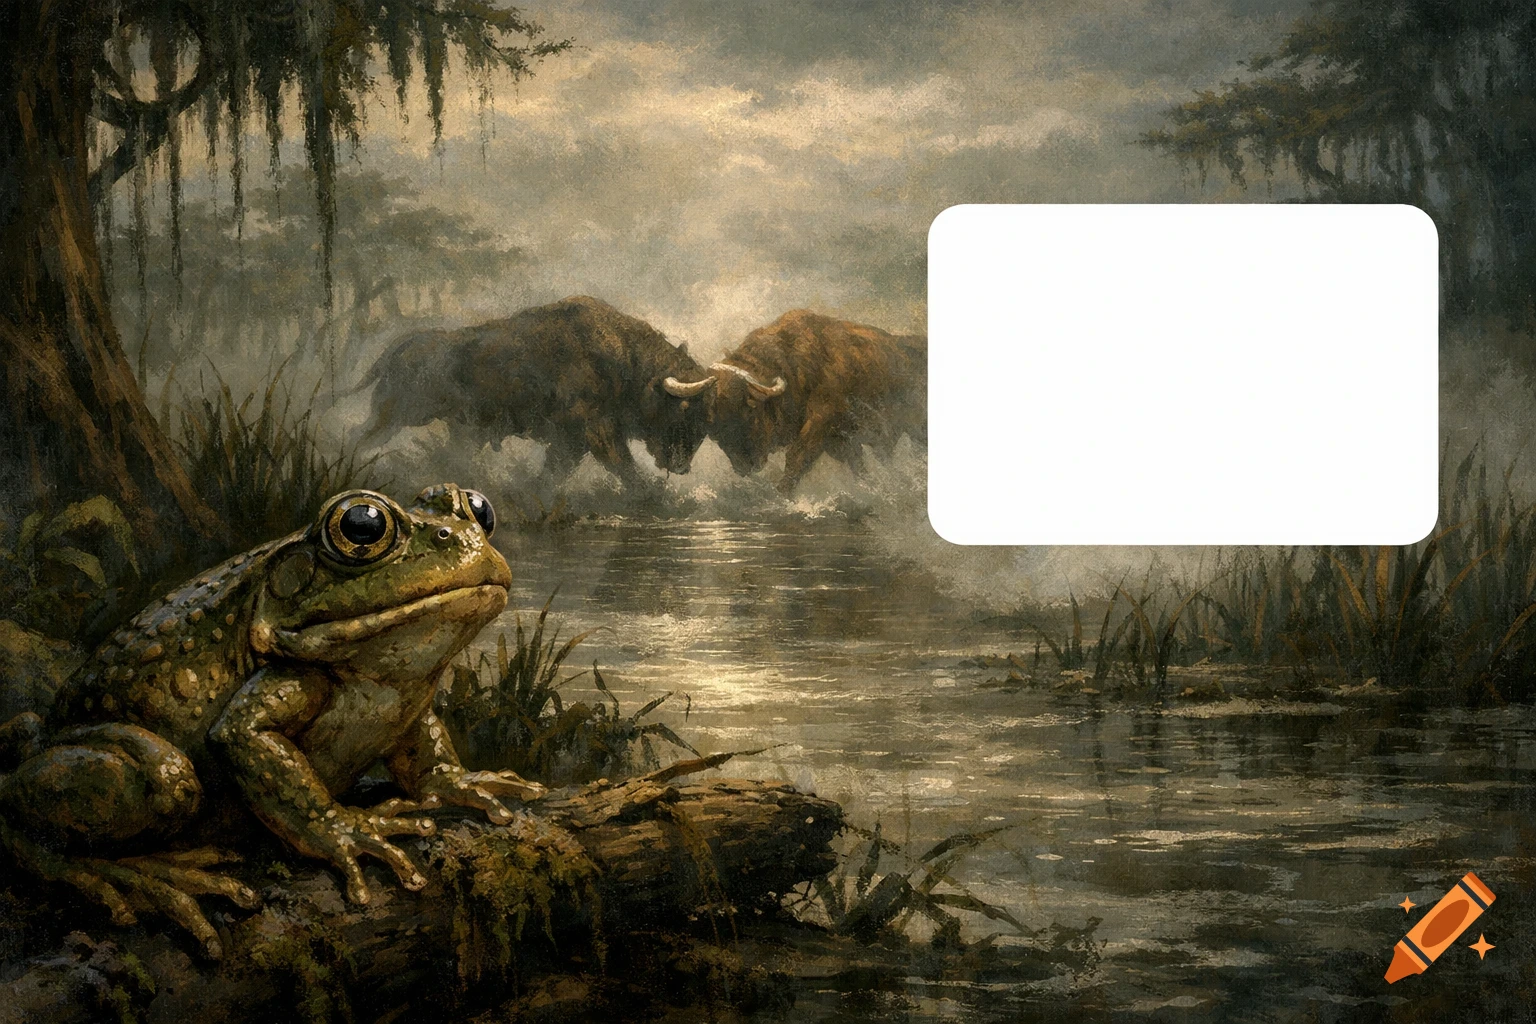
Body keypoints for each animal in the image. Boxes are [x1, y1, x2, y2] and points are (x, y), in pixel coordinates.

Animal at [356, 296, 719, 490]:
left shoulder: (576, 441)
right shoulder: (590, 433)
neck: (625, 357)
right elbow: (623, 468)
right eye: (685, 409)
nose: (682, 467)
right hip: (395, 416)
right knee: (361, 436)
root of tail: (397, 348)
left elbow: (554, 474)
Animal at [706, 309, 926, 494]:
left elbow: (797, 457)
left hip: (917, 429)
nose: (744, 466)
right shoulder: (842, 442)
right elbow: (858, 466)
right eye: (715, 431)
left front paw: (781, 495)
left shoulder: (821, 422)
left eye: (749, 410)